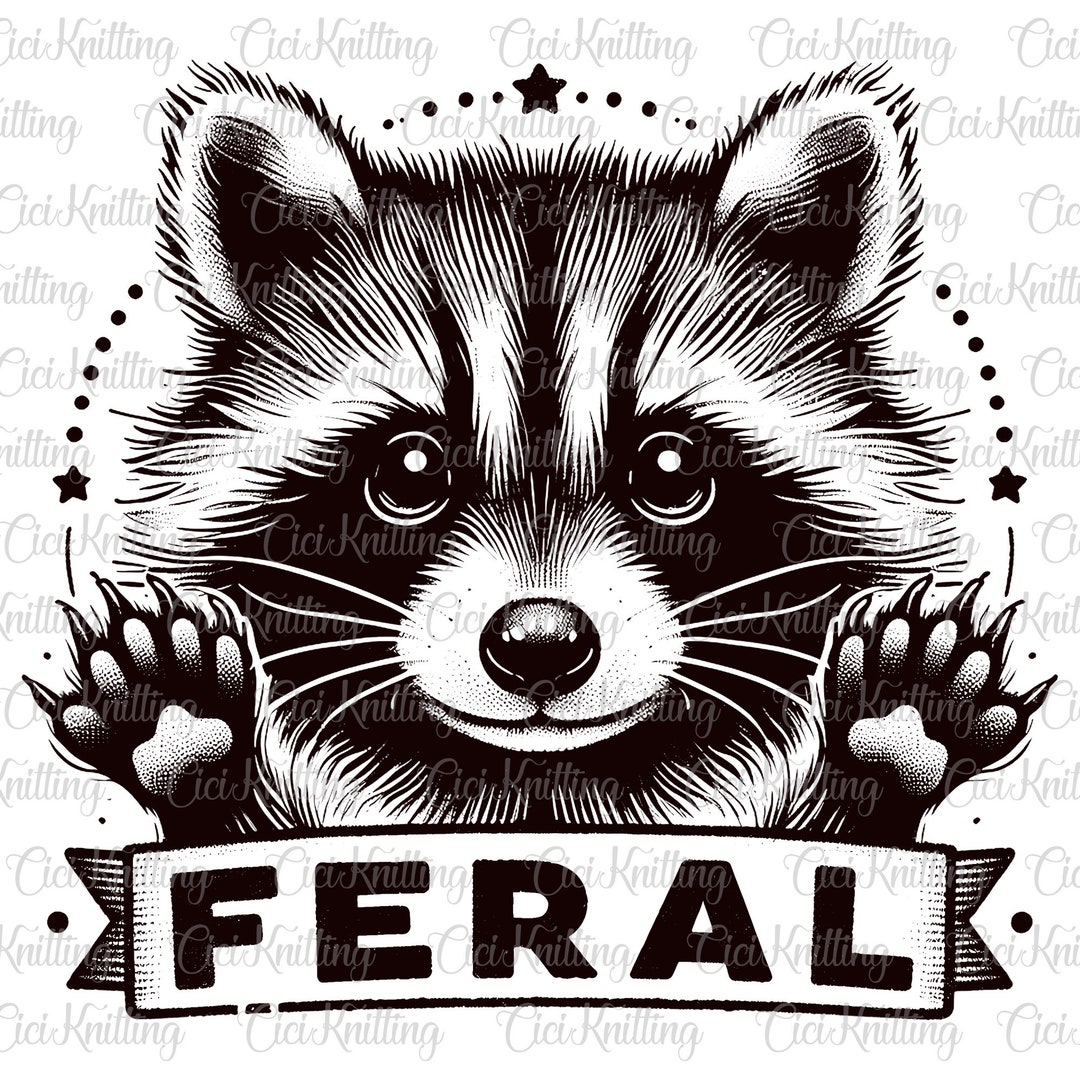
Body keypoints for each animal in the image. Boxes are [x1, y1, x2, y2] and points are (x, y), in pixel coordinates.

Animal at [26, 64, 1051, 843]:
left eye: (671, 469)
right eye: (410, 469)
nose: (541, 644)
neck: (540, 790)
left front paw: (882, 751)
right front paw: (197, 752)